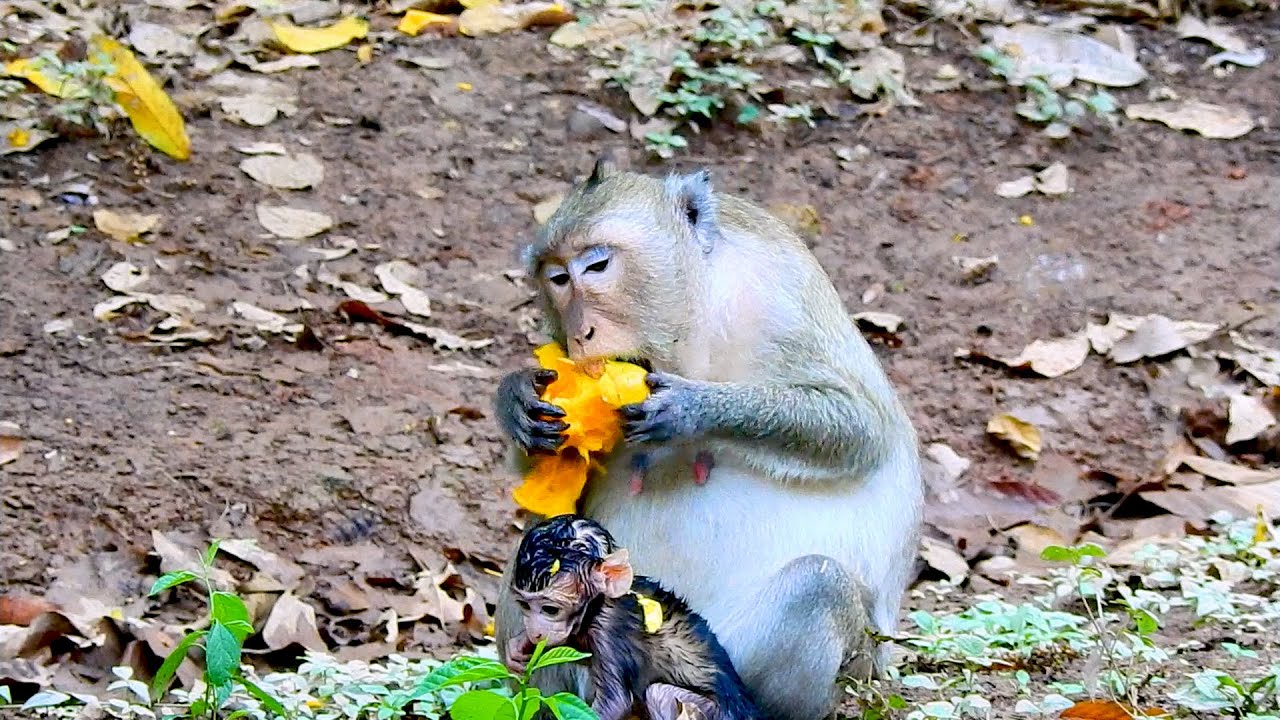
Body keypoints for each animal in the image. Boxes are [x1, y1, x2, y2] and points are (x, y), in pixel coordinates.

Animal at [506, 515, 765, 720]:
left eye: (550, 609)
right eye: (525, 606)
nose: (535, 631)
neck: (598, 606)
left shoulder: (609, 632)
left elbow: (615, 701)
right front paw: (519, 646)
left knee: (659, 693)